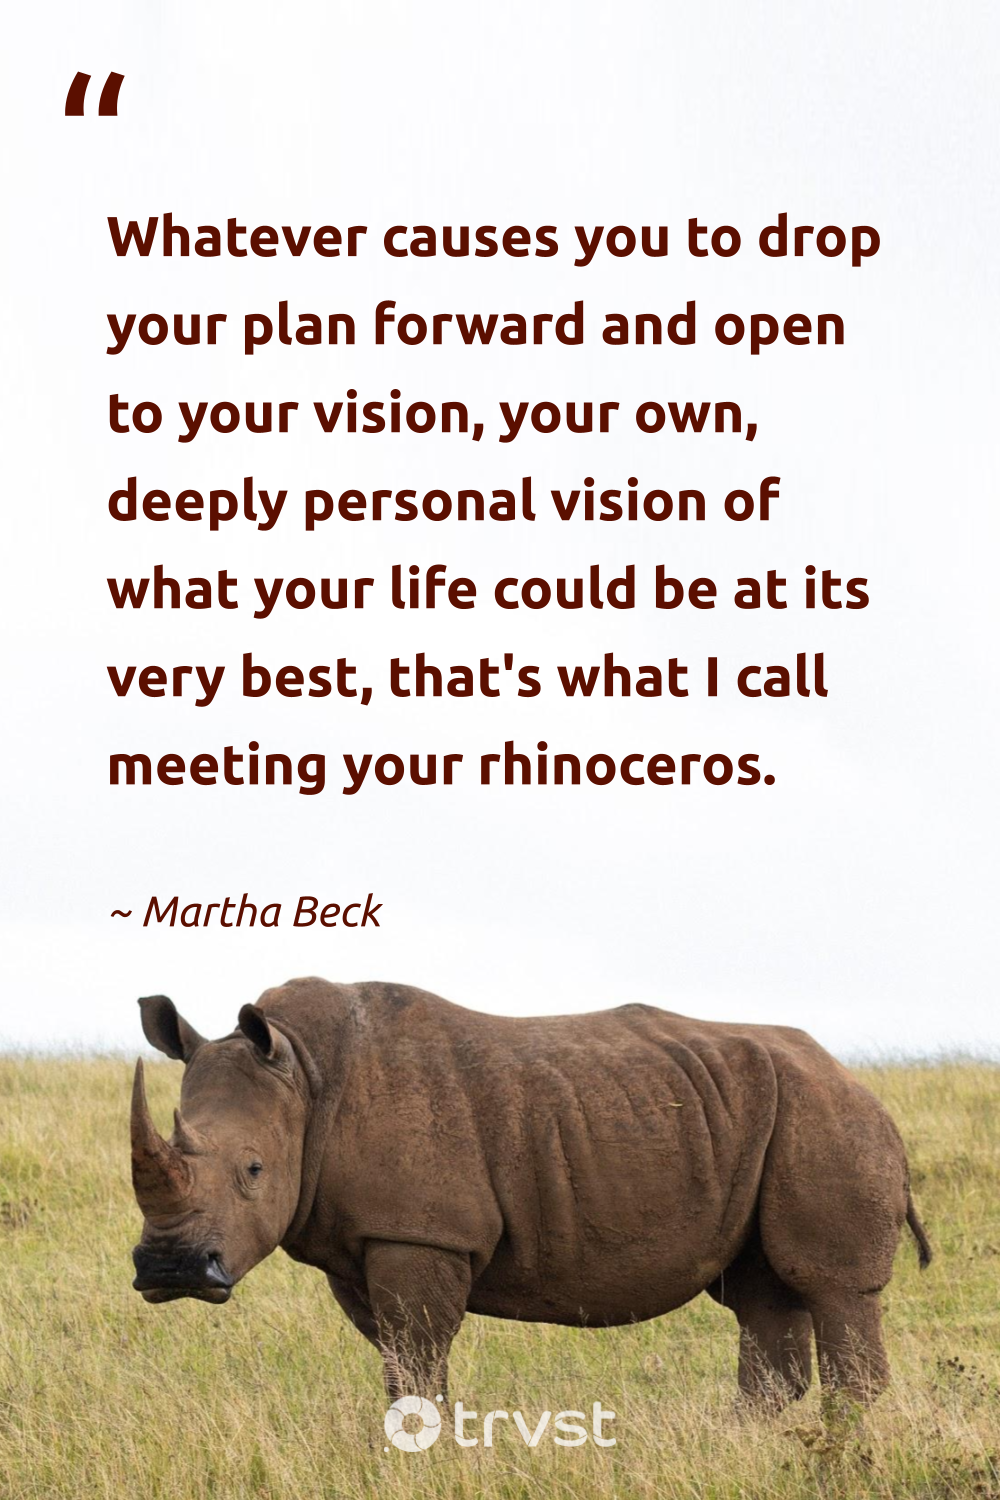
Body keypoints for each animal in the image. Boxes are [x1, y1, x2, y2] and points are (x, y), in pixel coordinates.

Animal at [130, 977, 931, 1409]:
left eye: (254, 1170)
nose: (171, 1269)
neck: (305, 1072)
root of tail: (861, 1086)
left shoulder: (422, 1230)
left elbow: (416, 1362)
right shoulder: (364, 1236)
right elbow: (399, 1360)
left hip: (827, 1117)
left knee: (831, 1287)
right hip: (770, 1115)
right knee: (763, 1296)